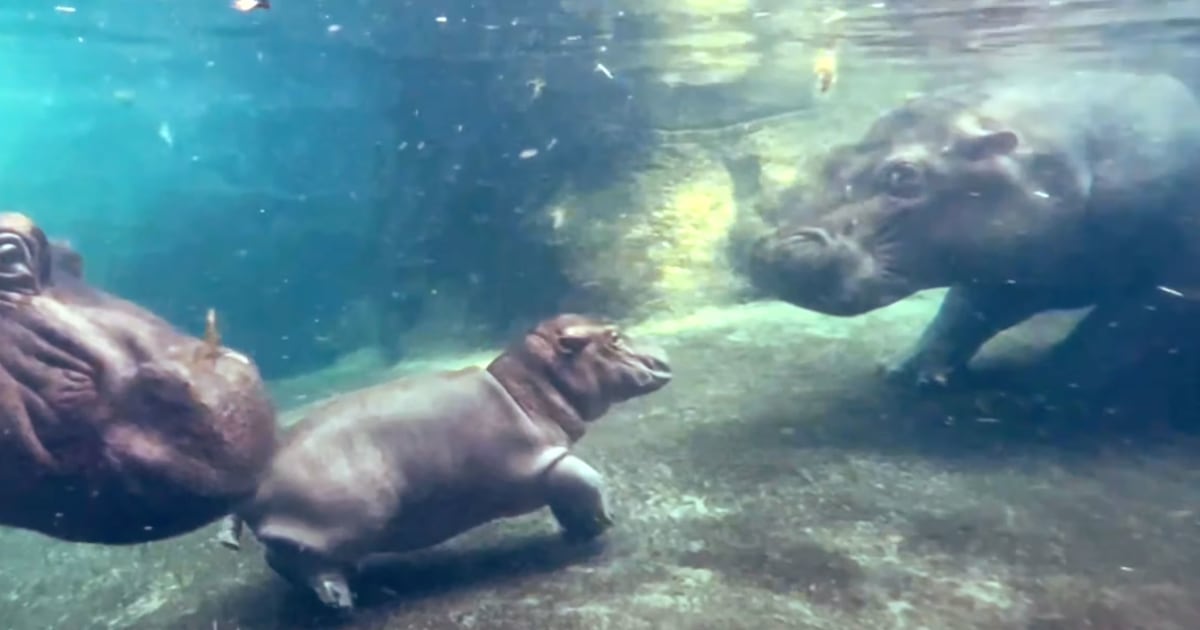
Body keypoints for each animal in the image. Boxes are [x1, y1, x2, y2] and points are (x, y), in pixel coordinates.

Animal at [215, 313, 672, 610]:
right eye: (613, 337)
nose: (664, 357)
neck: (530, 387)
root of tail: (250, 483)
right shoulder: (540, 460)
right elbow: (586, 477)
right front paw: (604, 522)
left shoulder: (549, 467)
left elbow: (569, 494)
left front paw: (583, 531)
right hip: (334, 526)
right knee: (294, 560)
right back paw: (340, 599)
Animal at [748, 71, 1200, 391]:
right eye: (830, 157)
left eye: (903, 176)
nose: (771, 251)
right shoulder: (1013, 268)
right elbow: (962, 311)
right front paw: (905, 370)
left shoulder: (1176, 286)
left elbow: (1112, 332)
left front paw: (1040, 389)